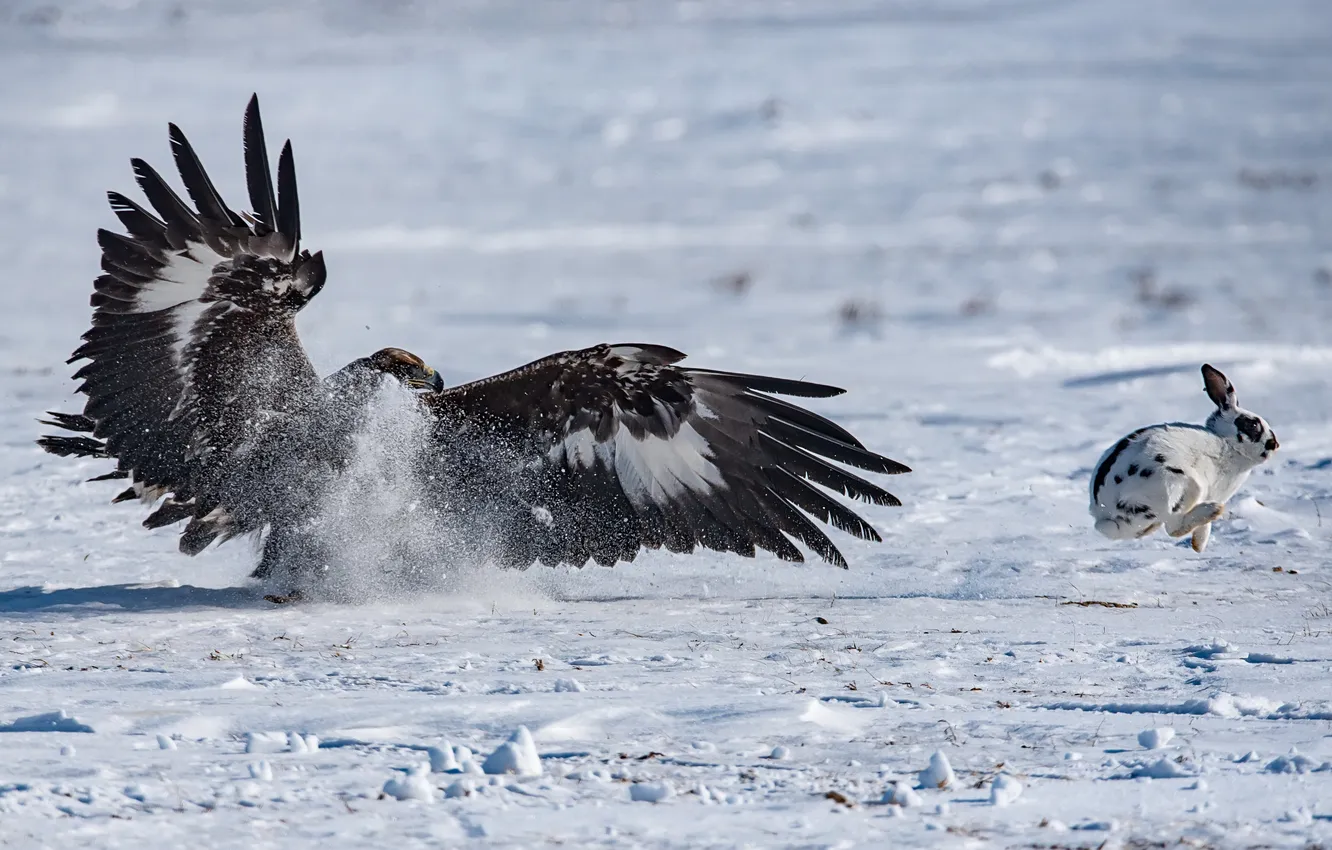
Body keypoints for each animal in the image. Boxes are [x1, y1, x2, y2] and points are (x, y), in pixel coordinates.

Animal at [1089, 364, 1278, 553]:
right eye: (1253, 424)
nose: (1274, 444)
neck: (1228, 443)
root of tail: (1106, 513)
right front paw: (1200, 543)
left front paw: (1199, 545)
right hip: (1179, 485)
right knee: (1173, 526)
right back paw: (1213, 510)